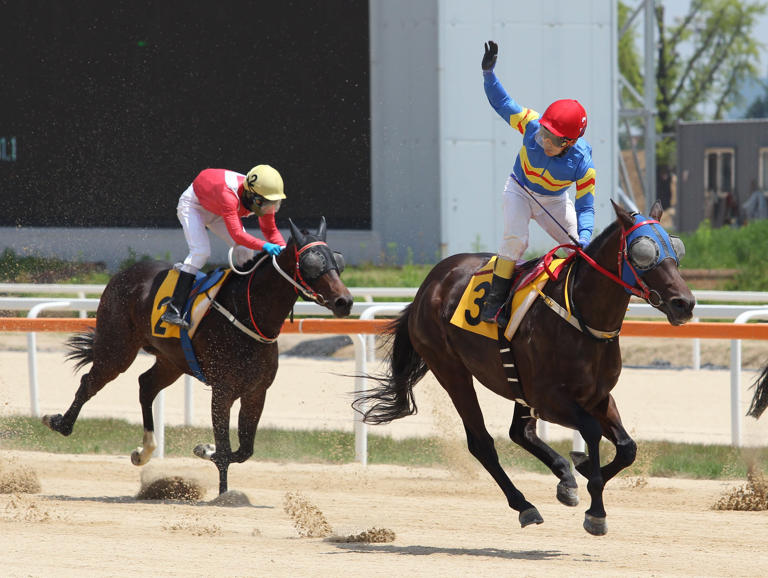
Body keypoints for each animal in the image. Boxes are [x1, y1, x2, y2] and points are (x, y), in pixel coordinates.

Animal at [43, 217, 353, 495]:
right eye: (312, 264)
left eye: (337, 261)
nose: (345, 301)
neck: (247, 314)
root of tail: (125, 273)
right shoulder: (223, 390)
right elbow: (226, 451)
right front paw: (222, 489)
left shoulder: (256, 391)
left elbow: (244, 450)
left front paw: (207, 450)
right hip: (117, 347)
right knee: (90, 382)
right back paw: (59, 423)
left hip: (171, 361)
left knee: (146, 385)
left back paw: (144, 450)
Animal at [353, 200, 695, 535]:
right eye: (644, 252)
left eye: (676, 249)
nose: (685, 303)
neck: (582, 318)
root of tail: (429, 284)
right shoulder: (549, 400)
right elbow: (591, 431)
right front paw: (595, 509)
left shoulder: (597, 396)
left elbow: (627, 448)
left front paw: (581, 469)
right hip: (452, 371)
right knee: (482, 443)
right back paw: (525, 504)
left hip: (515, 381)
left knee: (519, 432)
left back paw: (563, 476)